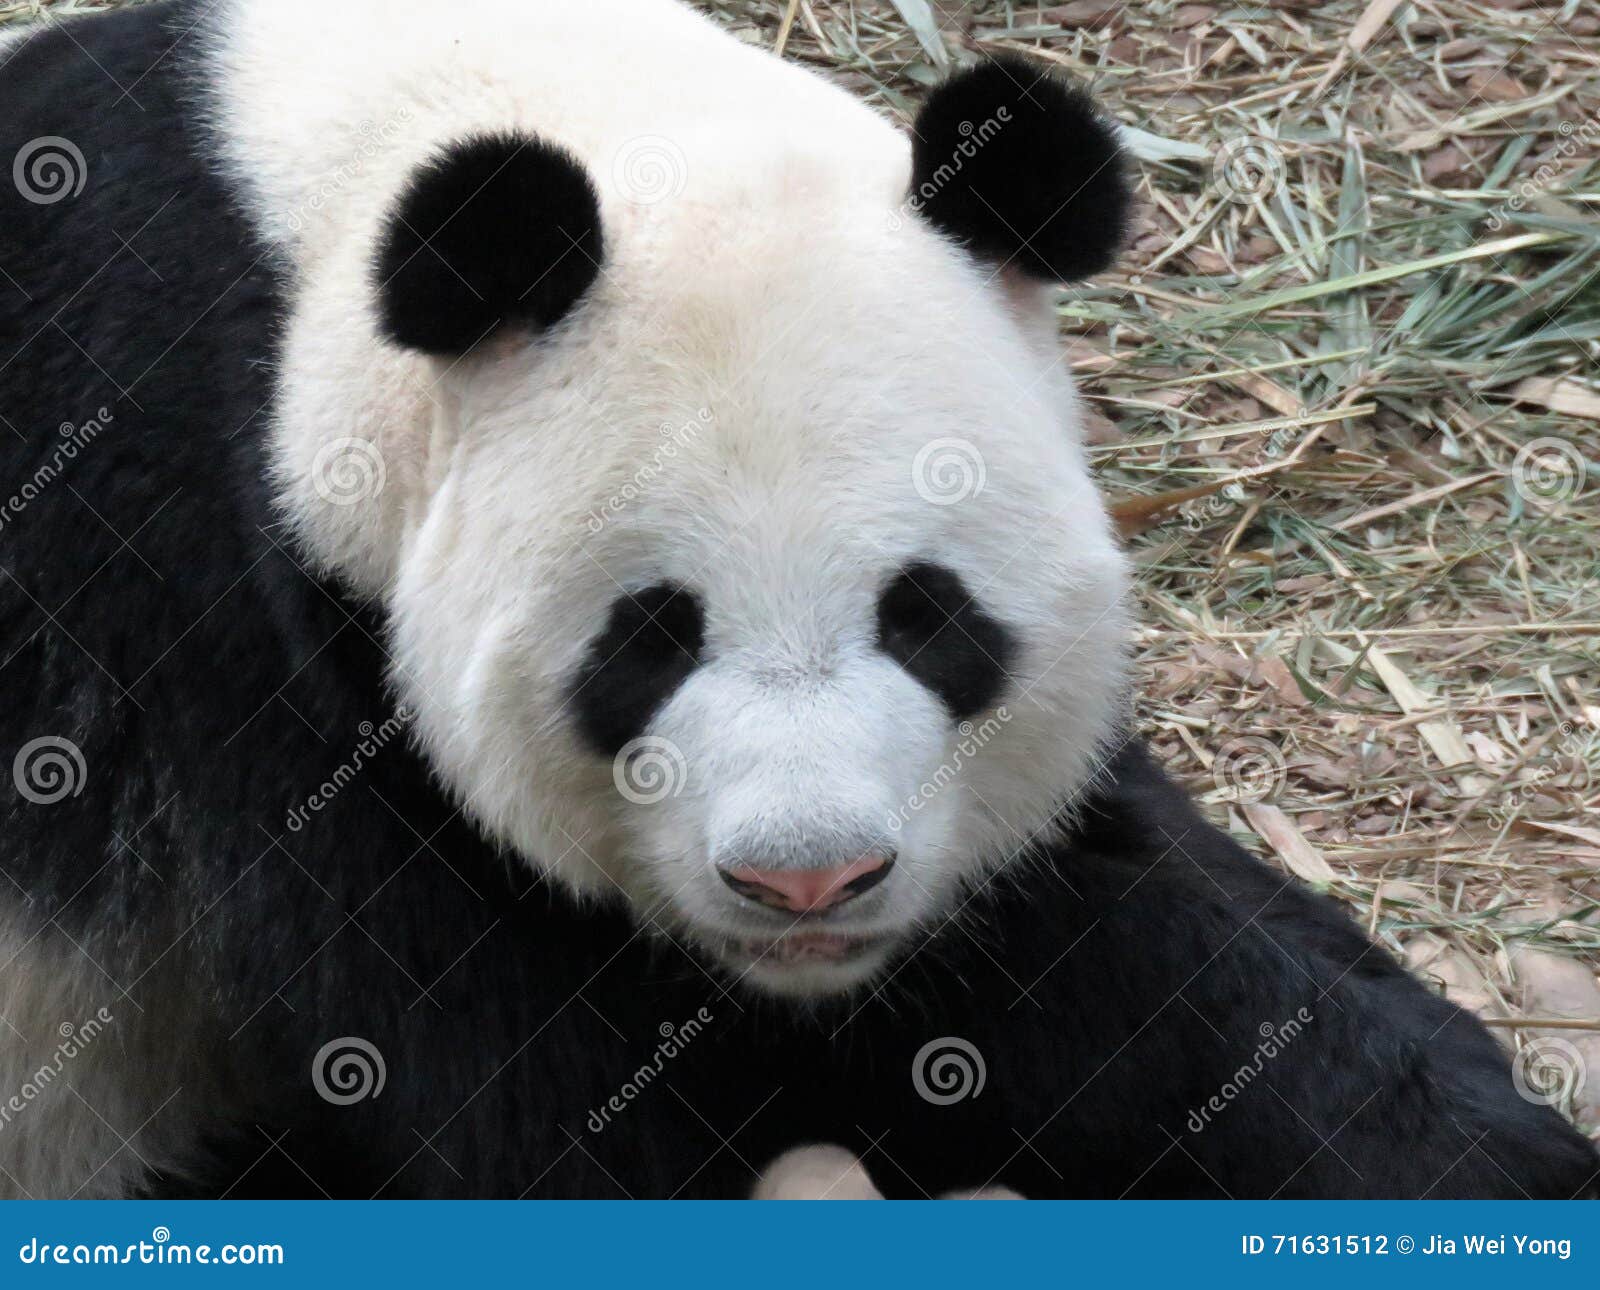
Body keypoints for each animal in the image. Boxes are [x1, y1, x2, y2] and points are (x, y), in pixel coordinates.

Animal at [0, 0, 1594, 1201]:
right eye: (647, 638)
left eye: (928, 618)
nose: (809, 881)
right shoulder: (226, 600)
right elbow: (539, 1104)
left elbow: (1125, 944)